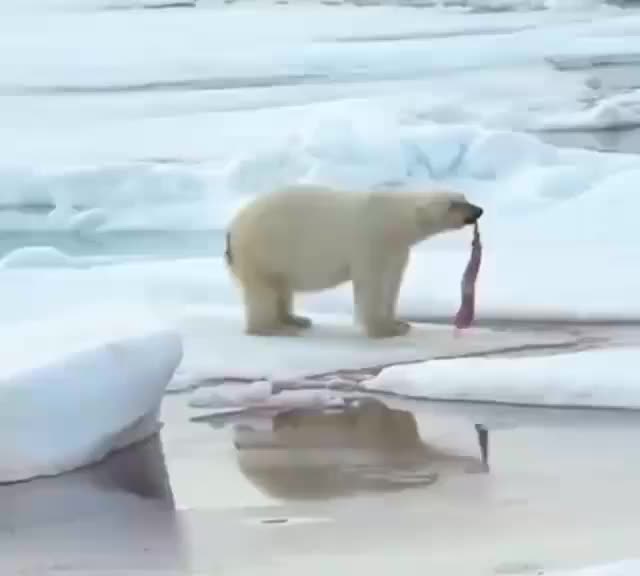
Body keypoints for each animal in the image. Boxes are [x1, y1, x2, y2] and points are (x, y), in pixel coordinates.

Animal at [224, 184, 483, 339]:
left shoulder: (396, 249)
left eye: (464, 197)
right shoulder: (371, 240)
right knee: (263, 290)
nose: (479, 210)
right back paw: (275, 328)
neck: (395, 220)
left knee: (282, 287)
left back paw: (297, 320)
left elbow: (392, 281)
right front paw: (382, 329)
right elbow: (372, 283)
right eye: (454, 203)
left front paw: (399, 323)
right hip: (263, 249)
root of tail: (231, 229)